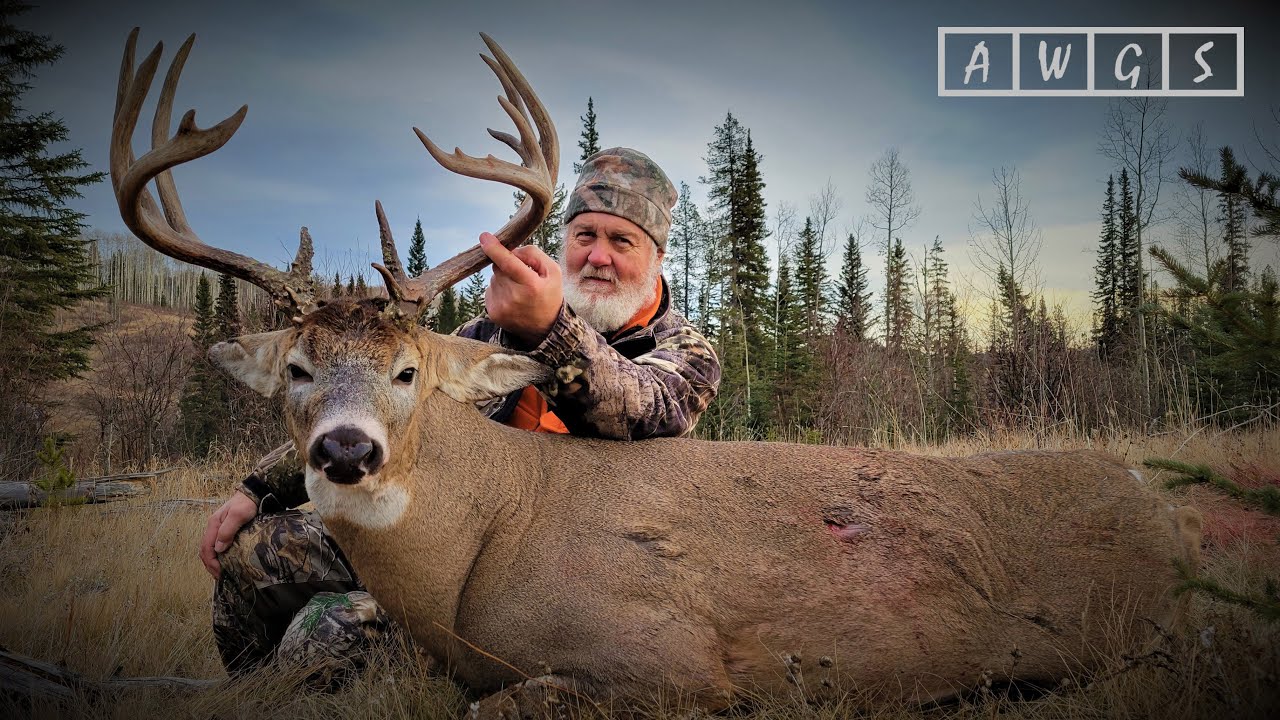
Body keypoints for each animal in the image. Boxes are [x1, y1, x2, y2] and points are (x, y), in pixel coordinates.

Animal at [111, 28, 1203, 718]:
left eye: (410, 370)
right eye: (296, 368)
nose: (344, 450)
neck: (480, 539)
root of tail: (1159, 505)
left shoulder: (666, 660)